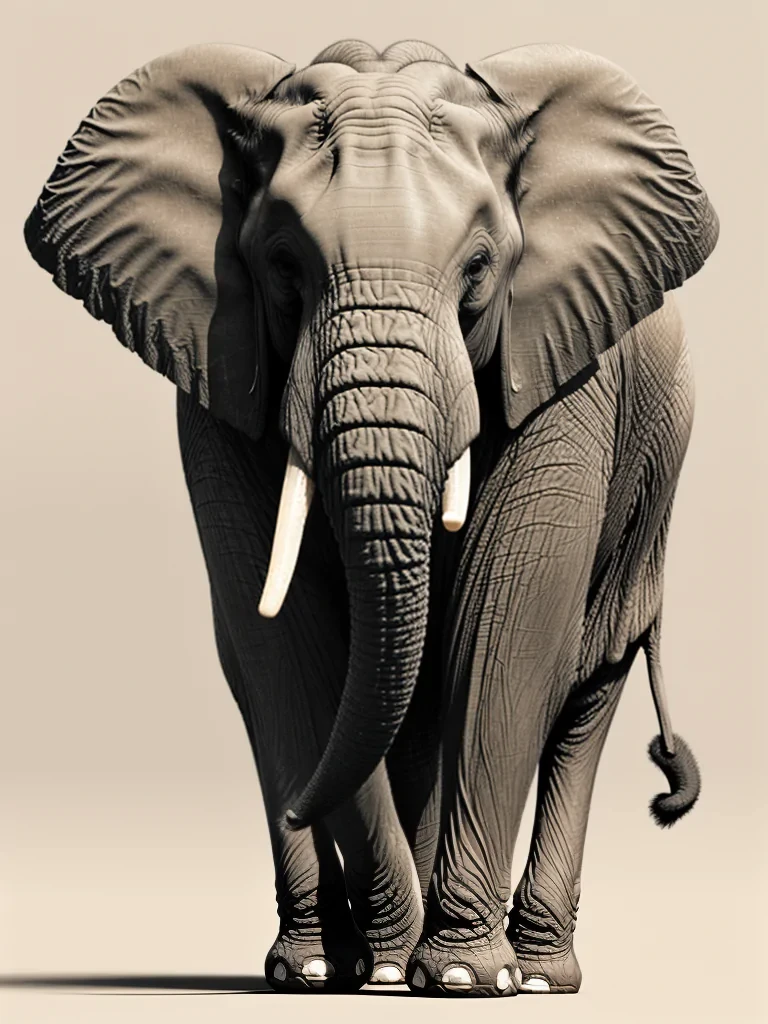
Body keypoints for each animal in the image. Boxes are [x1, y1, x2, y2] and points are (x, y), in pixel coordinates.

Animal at [24, 38, 718, 997]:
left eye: (479, 268)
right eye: (283, 265)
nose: (388, 961)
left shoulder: (567, 365)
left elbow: (505, 620)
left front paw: (460, 978)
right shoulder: (220, 367)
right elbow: (287, 638)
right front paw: (375, 969)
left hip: (650, 501)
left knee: (584, 690)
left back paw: (537, 974)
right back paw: (324, 965)